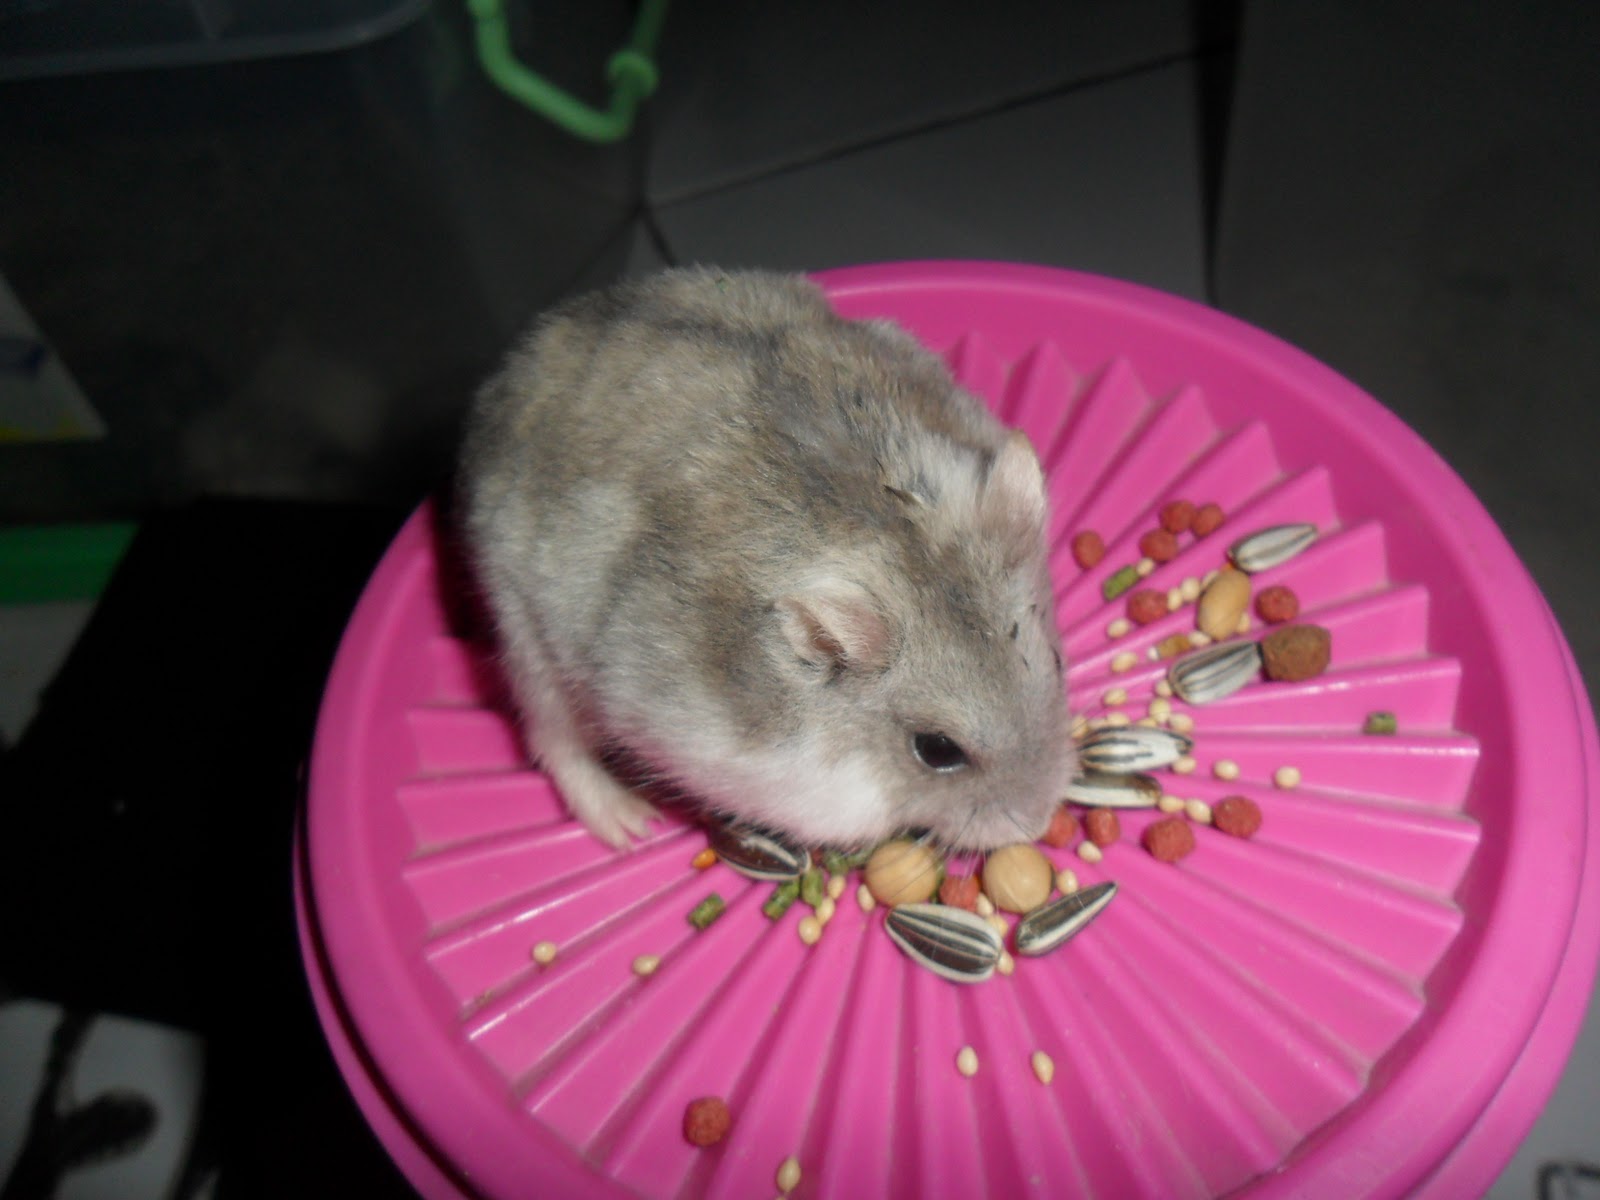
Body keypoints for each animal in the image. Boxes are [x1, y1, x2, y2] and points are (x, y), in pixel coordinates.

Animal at [458, 267, 1074, 852]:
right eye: (938, 750)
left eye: (1058, 663)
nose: (1039, 822)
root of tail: (509, 373)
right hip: (527, 639)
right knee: (553, 741)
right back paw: (630, 825)